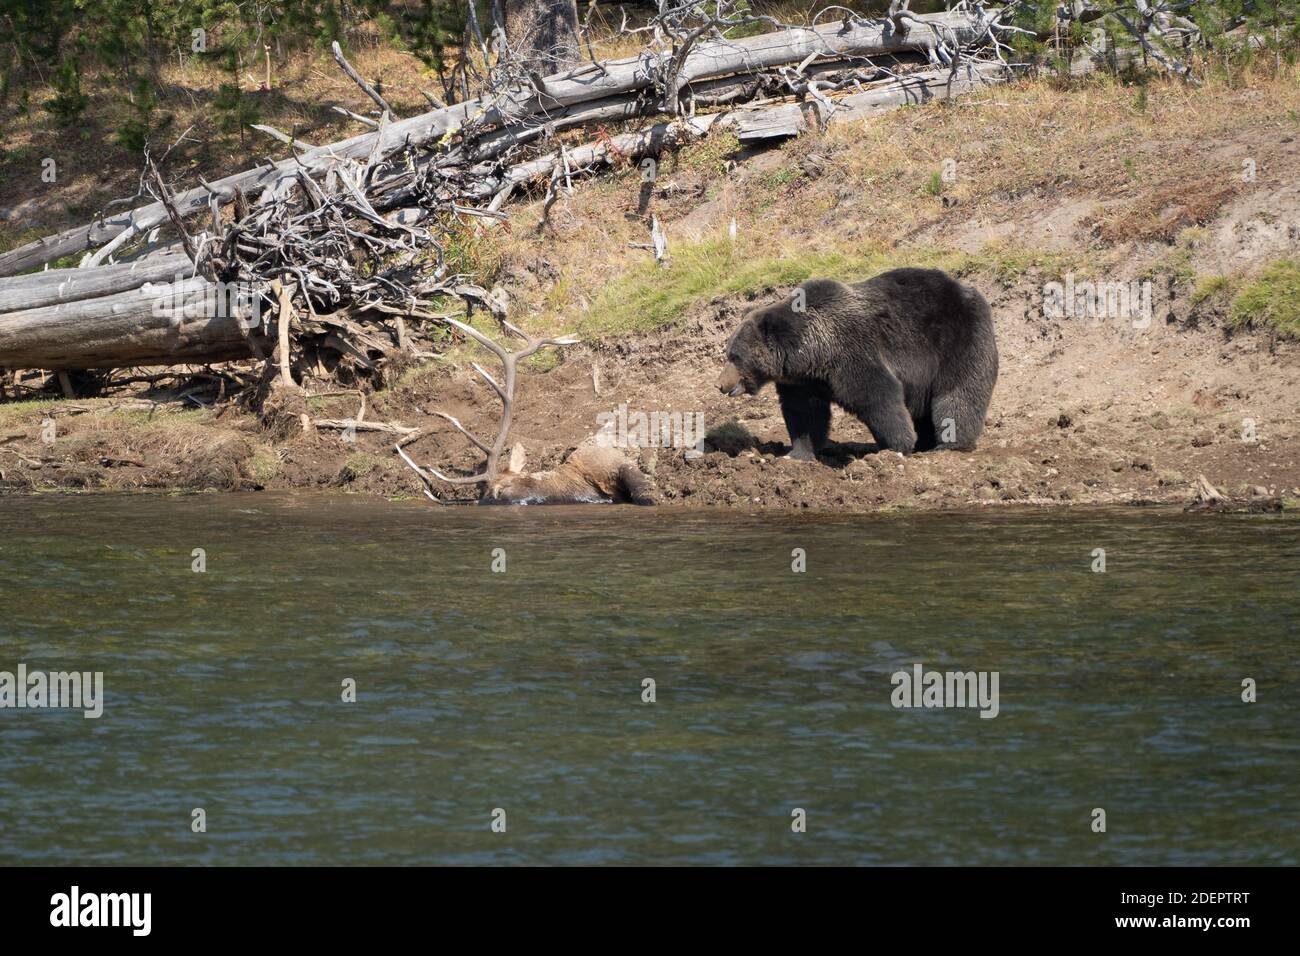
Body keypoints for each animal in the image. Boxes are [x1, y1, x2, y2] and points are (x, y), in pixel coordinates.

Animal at [716, 269, 997, 458]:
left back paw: (951, 443)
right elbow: (804, 414)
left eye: (735, 356)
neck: (812, 353)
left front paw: (897, 445)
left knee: (958, 393)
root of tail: (968, 290)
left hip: (955, 340)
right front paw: (798, 453)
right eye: (728, 352)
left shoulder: (852, 351)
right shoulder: (802, 381)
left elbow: (878, 394)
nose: (720, 384)